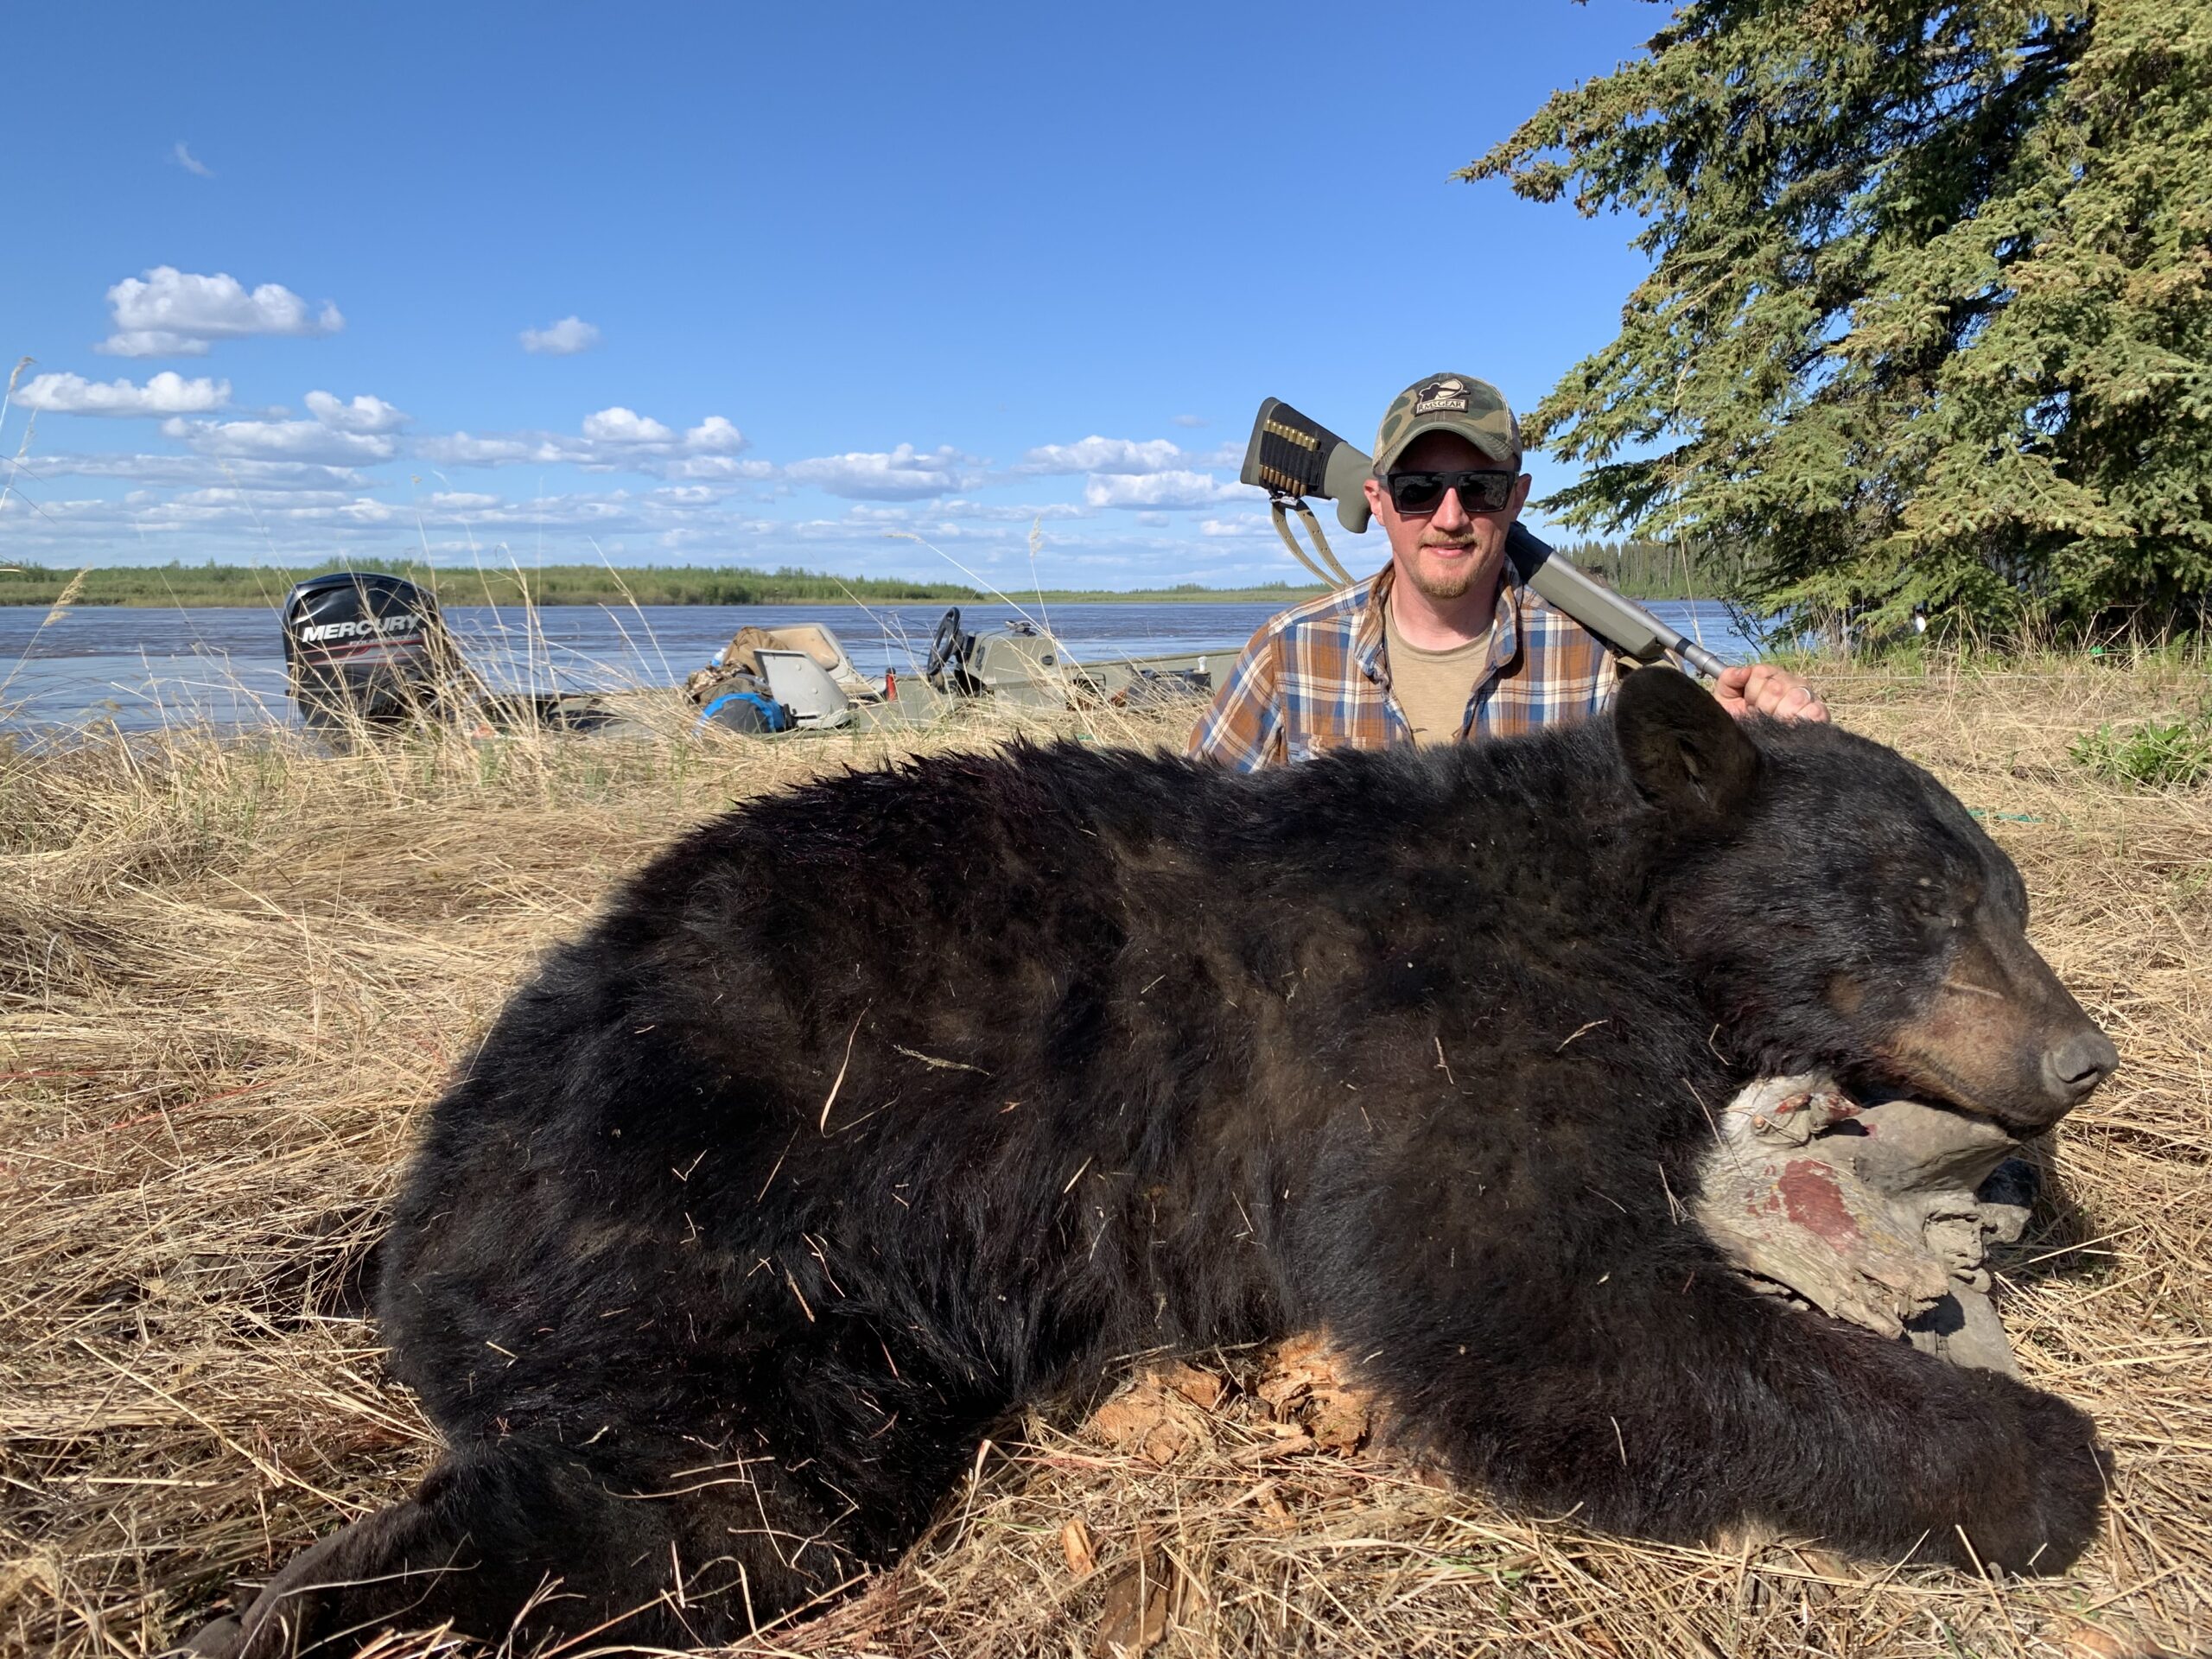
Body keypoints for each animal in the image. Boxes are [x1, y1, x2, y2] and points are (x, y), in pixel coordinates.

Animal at [193, 668, 2118, 1658]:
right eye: (1919, 895)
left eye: (2013, 895)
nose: (2079, 1056)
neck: (1602, 897)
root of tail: (439, 1165)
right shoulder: (1417, 1033)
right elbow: (1545, 1323)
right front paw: (2046, 1459)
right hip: (692, 1213)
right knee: (723, 1516)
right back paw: (298, 1597)